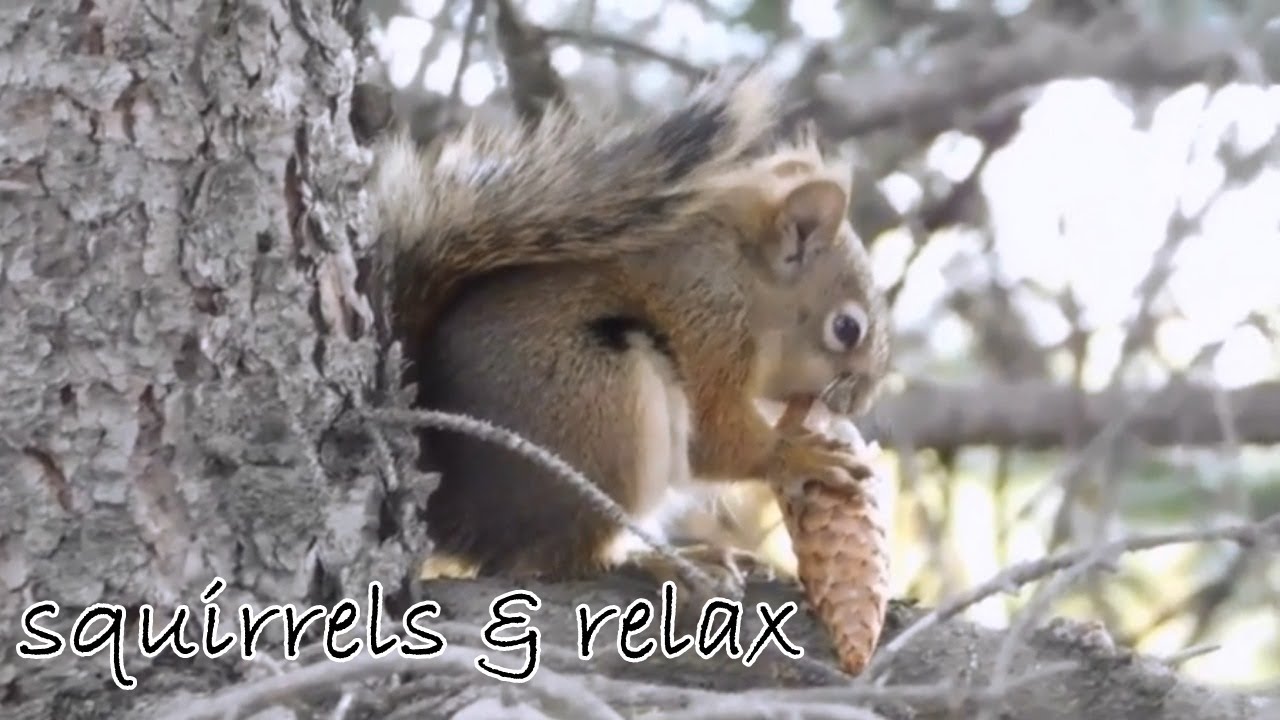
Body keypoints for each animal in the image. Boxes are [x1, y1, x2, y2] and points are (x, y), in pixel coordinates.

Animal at [370, 71, 890, 587]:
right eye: (846, 328)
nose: (861, 401)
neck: (742, 275)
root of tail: (460, 517)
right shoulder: (706, 323)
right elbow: (711, 437)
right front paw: (797, 455)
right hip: (604, 407)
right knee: (561, 558)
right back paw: (658, 559)